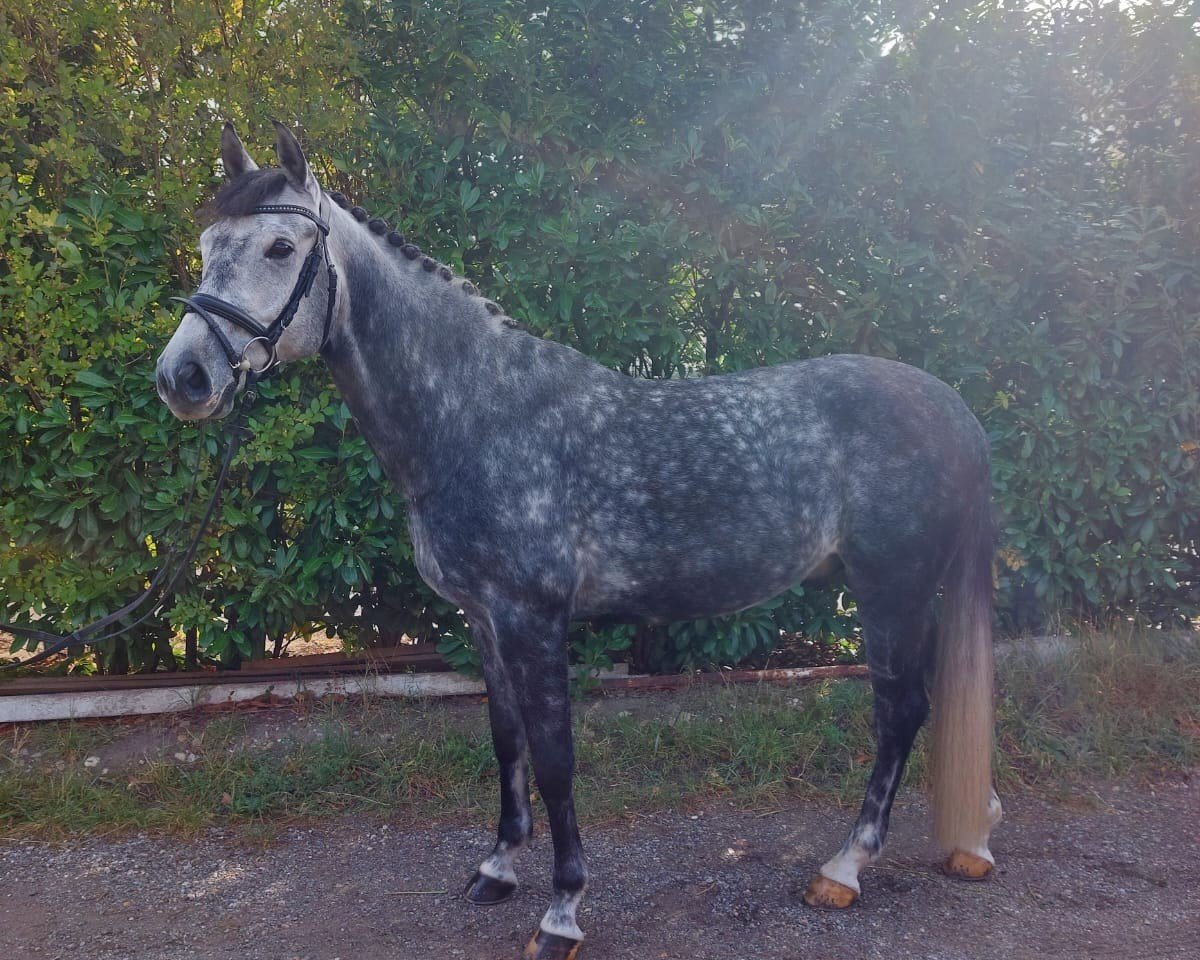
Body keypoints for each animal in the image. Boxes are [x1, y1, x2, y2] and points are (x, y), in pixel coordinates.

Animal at [156, 123, 1001, 960]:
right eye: (206, 244)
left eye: (280, 248)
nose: (182, 377)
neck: (478, 416)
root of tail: (951, 406)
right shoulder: (483, 620)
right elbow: (506, 740)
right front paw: (498, 868)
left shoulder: (535, 620)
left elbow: (556, 759)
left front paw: (562, 910)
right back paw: (974, 836)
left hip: (889, 588)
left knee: (901, 710)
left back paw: (844, 868)